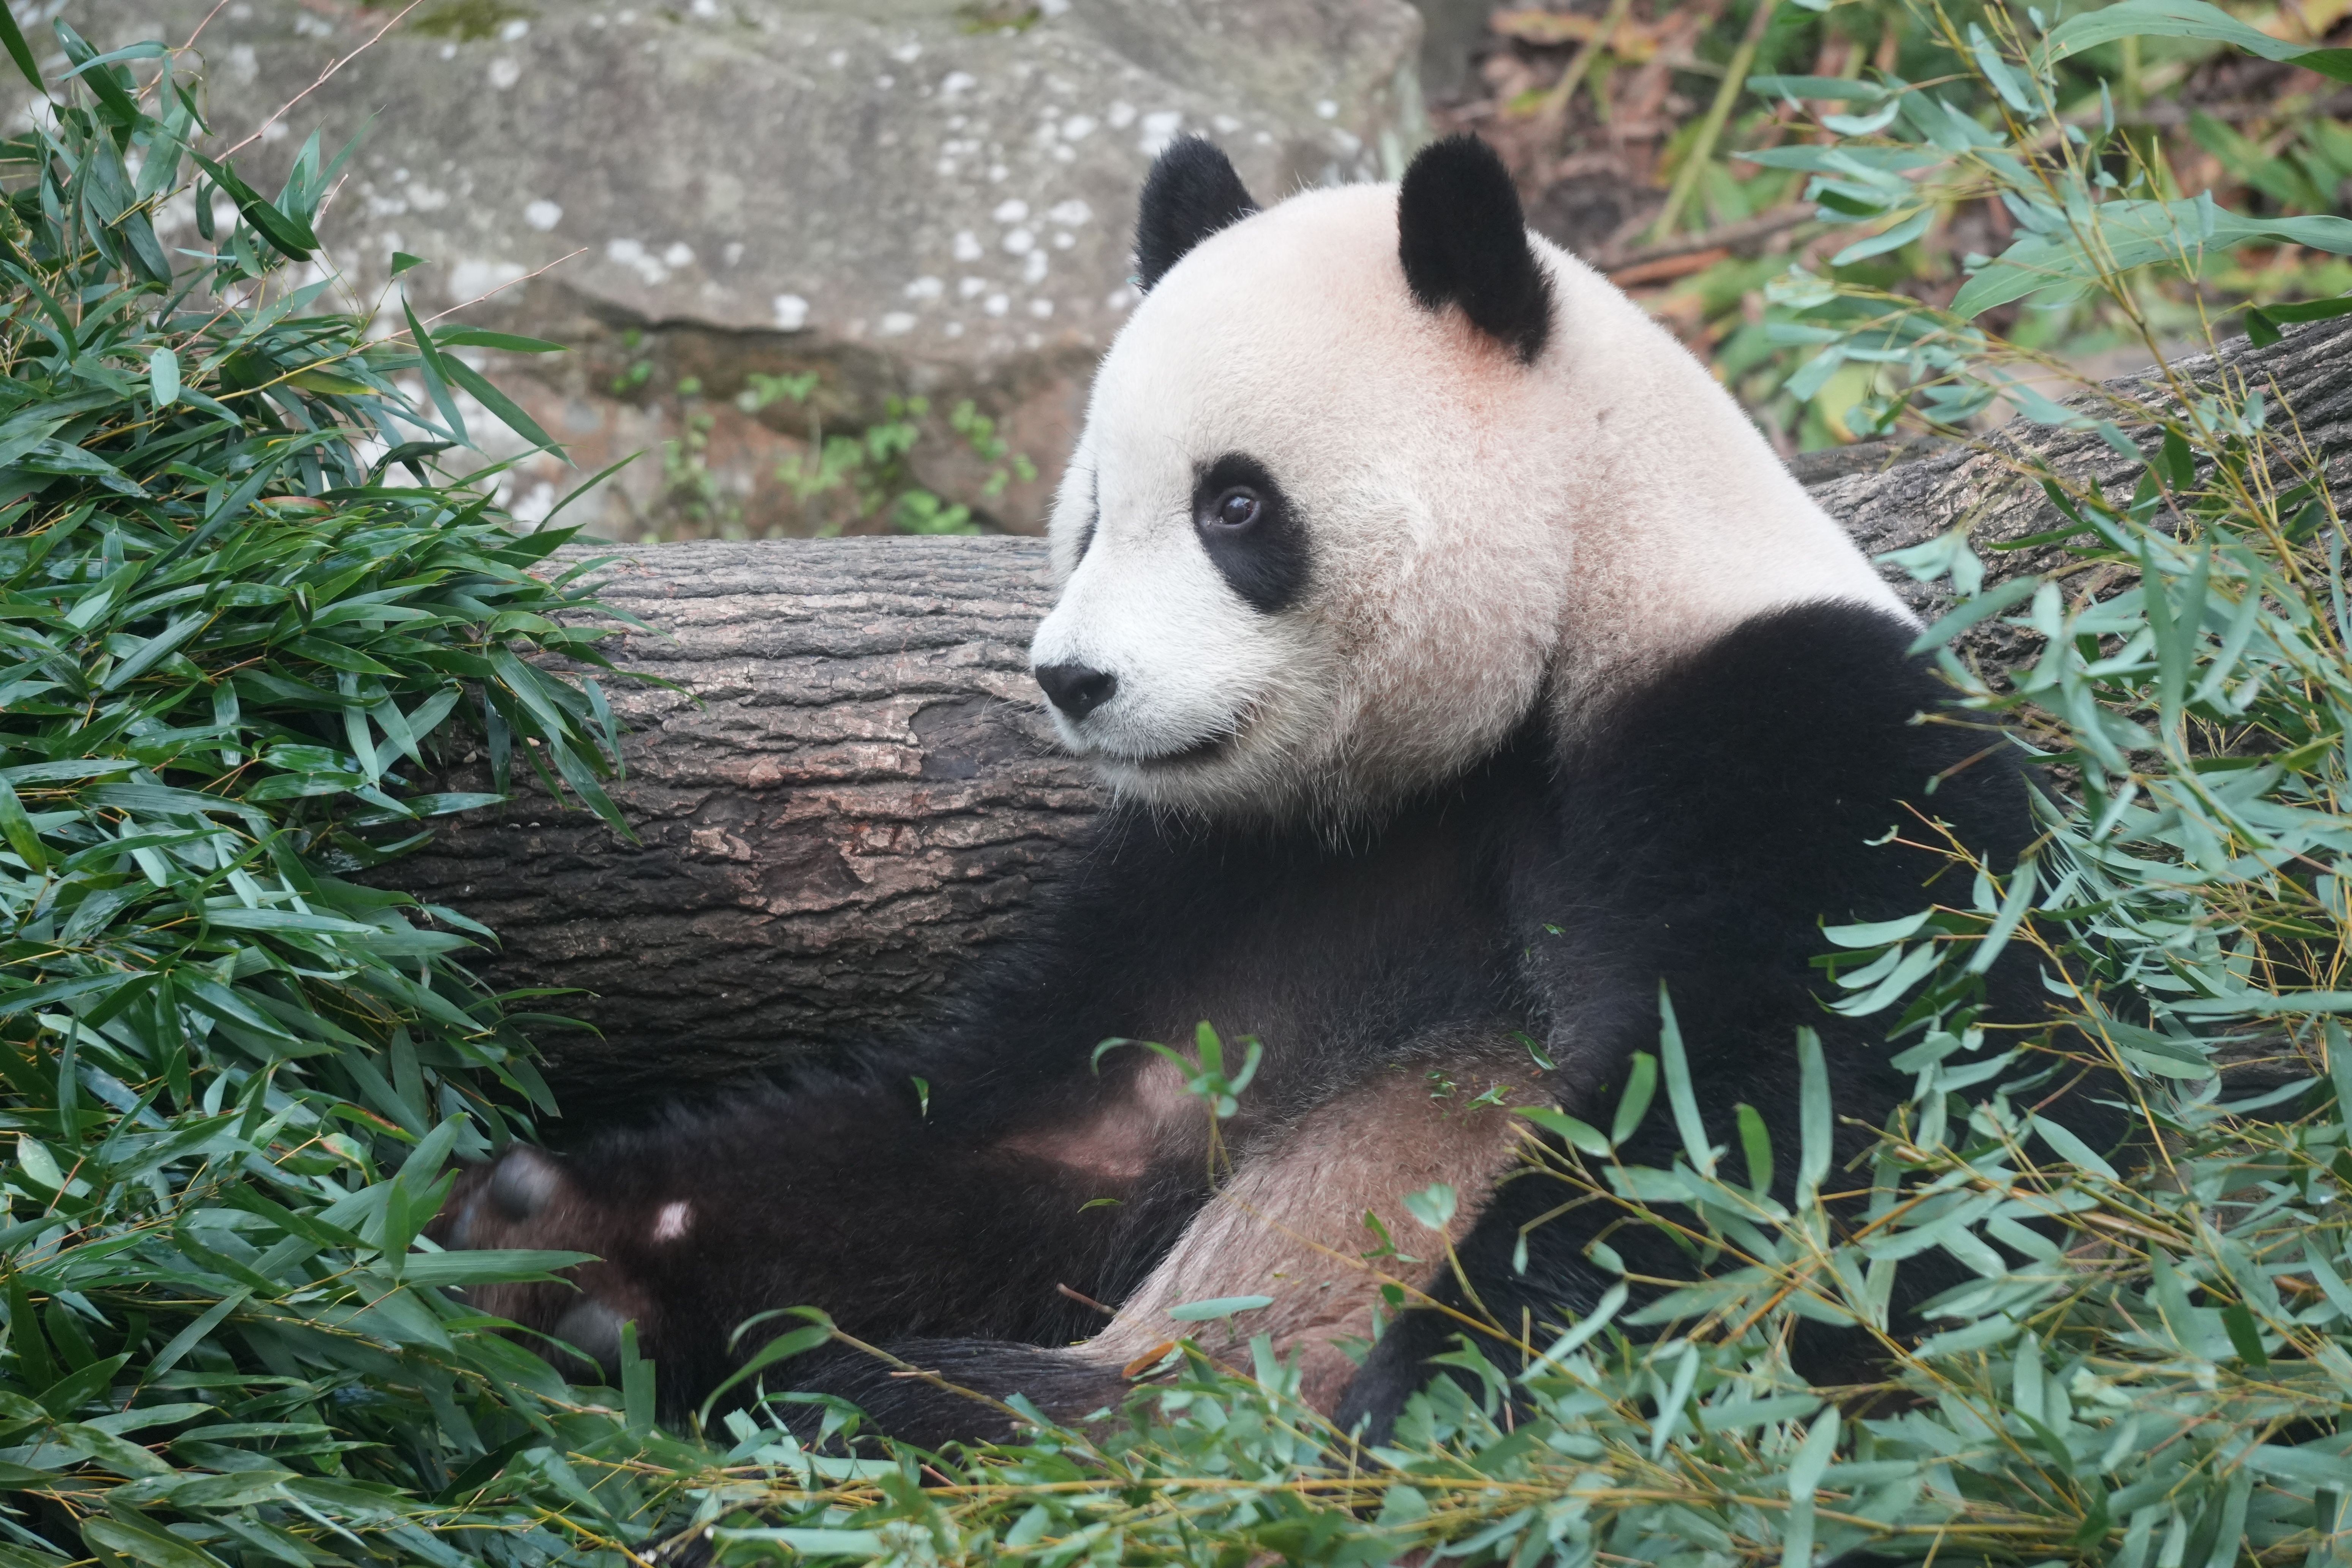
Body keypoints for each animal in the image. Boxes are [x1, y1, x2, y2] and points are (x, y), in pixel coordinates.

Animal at [437, 134, 2100, 1445]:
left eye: (1235, 506)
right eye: (1090, 516)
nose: (1074, 681)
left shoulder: (1789, 729)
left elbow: (1800, 1104)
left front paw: (1446, 1393)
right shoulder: (1267, 858)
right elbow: (1056, 1126)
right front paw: (560, 1243)